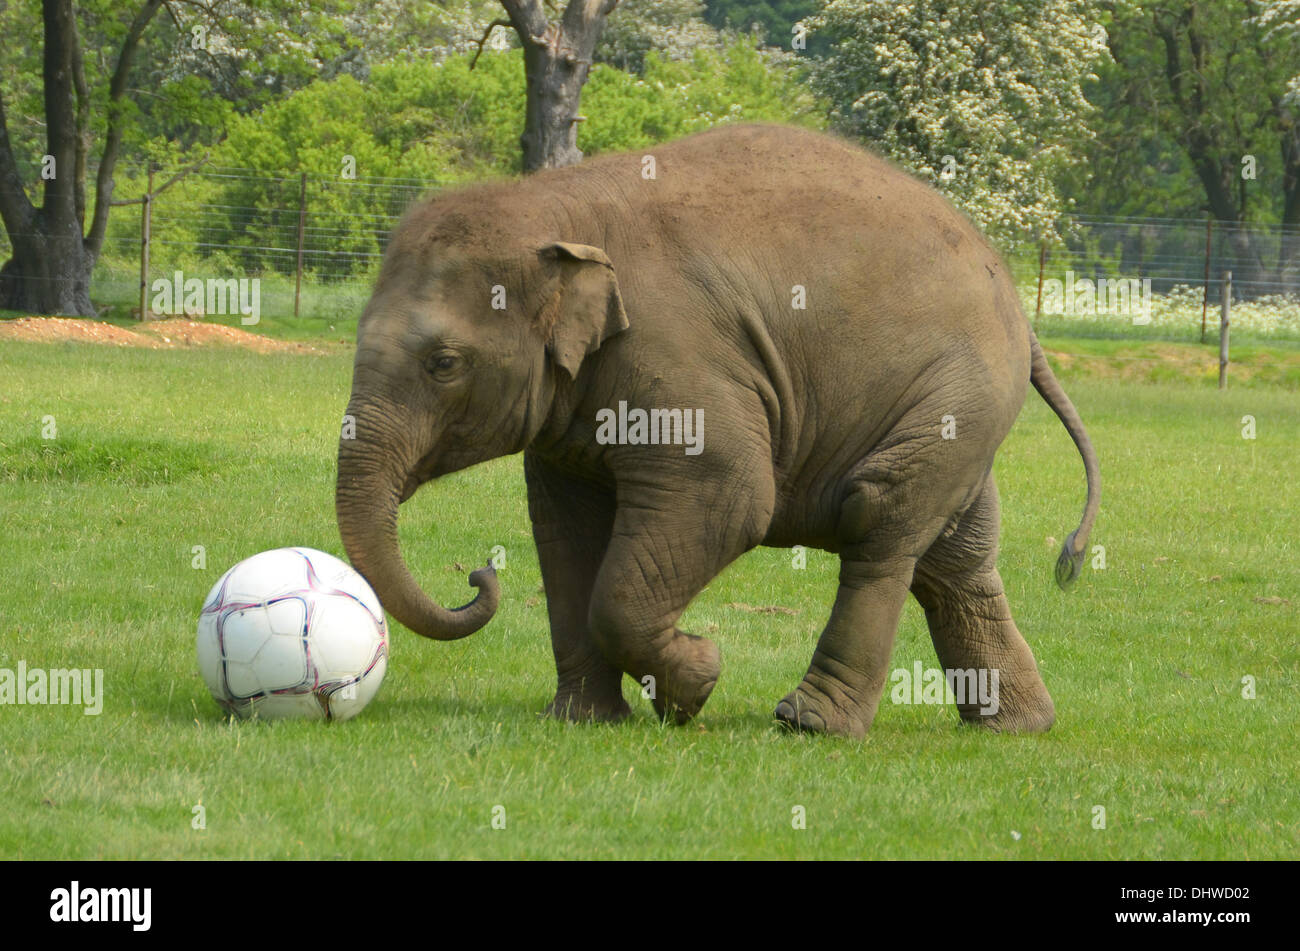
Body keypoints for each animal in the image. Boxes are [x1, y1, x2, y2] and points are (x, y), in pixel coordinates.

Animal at [335, 123, 1099, 737]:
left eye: (443, 364)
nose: (477, 575)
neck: (553, 207)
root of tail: (1015, 300)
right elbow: (565, 528)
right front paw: (584, 719)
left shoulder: (682, 359)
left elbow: (731, 497)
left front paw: (697, 681)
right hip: (957, 413)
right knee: (955, 557)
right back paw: (1018, 726)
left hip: (957, 392)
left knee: (881, 518)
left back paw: (810, 724)